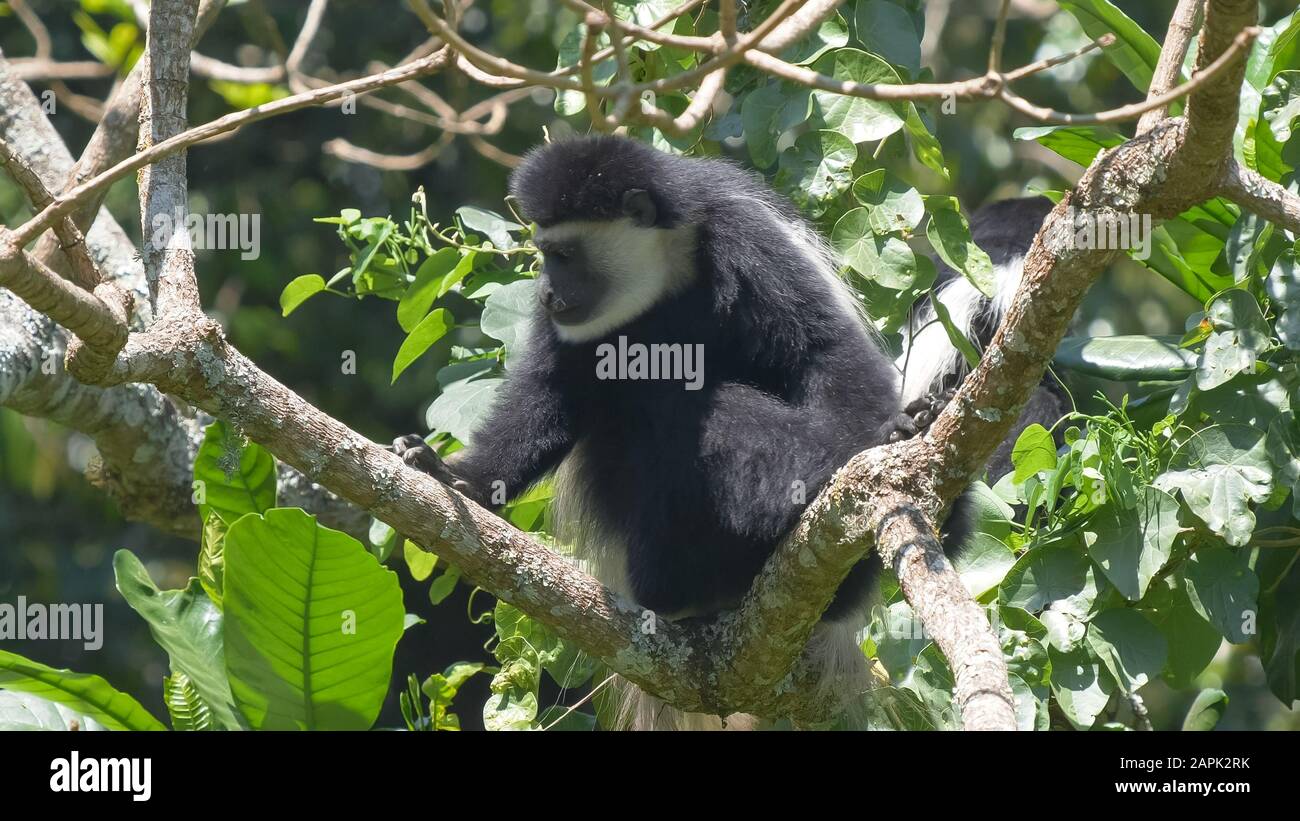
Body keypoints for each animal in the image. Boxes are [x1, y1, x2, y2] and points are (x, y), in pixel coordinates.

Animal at [394, 135, 1060, 729]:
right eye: (545, 254)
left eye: (564, 253)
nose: (550, 293)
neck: (664, 276)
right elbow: (548, 398)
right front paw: (455, 476)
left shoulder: (744, 239)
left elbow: (826, 351)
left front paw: (889, 439)